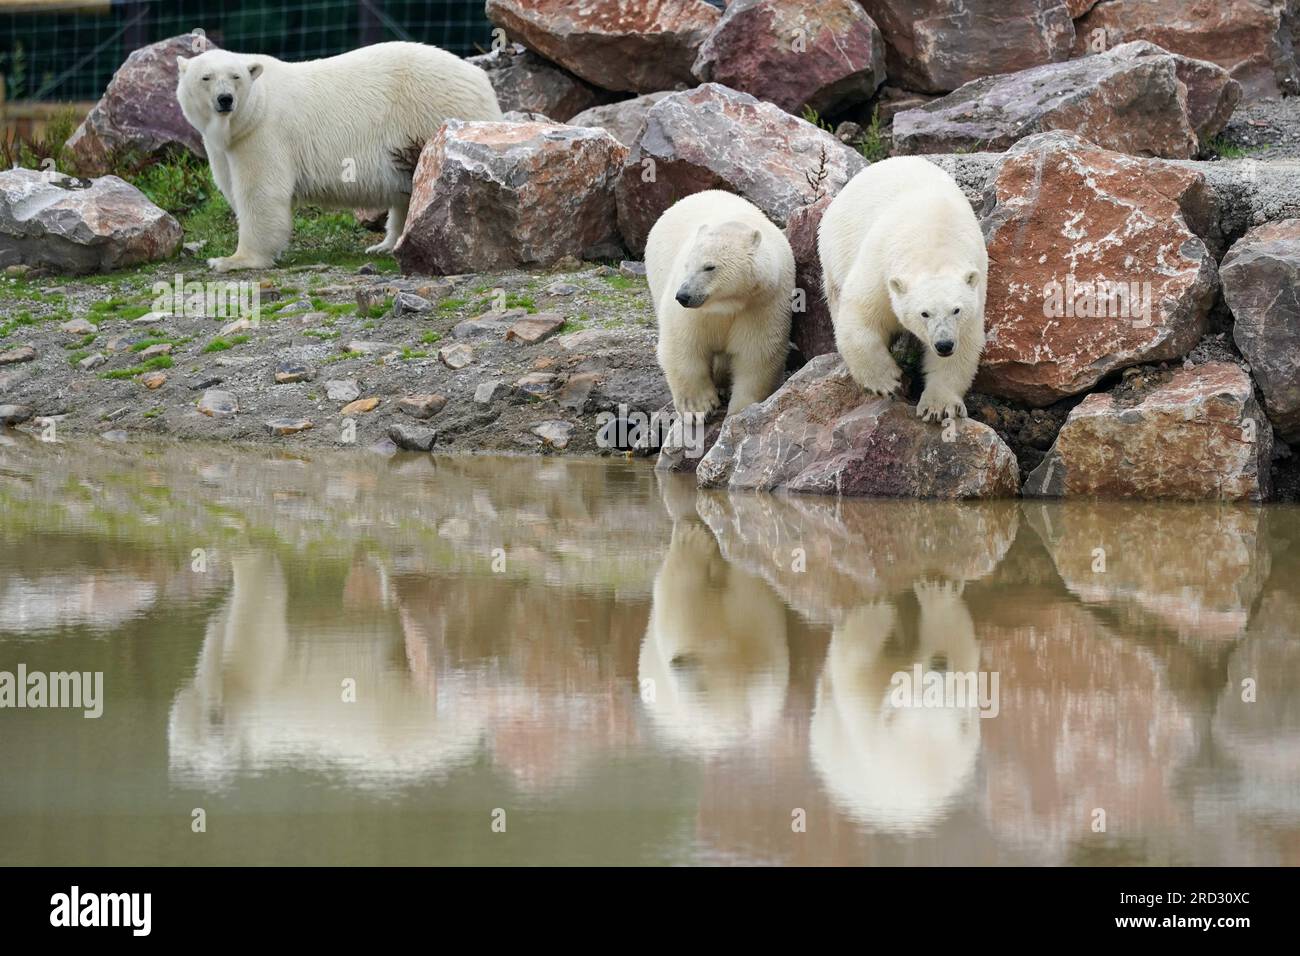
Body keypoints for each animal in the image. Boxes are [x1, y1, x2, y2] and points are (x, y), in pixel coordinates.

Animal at [175, 42, 501, 273]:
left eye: (236, 76)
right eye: (206, 77)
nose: (225, 99)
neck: (252, 110)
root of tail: (479, 77)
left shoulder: (265, 132)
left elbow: (261, 192)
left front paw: (232, 260)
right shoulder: (227, 146)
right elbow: (233, 184)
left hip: (434, 114)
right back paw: (386, 244)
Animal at [645, 190, 795, 416]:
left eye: (709, 267)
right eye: (687, 265)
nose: (683, 295)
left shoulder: (764, 302)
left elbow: (756, 354)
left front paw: (739, 410)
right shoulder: (695, 312)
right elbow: (683, 344)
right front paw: (698, 408)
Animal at [818, 156, 988, 422]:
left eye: (956, 310)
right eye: (924, 313)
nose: (944, 345)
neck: (935, 241)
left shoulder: (975, 291)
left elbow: (966, 345)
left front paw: (938, 407)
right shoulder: (880, 267)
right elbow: (861, 316)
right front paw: (887, 381)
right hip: (836, 247)